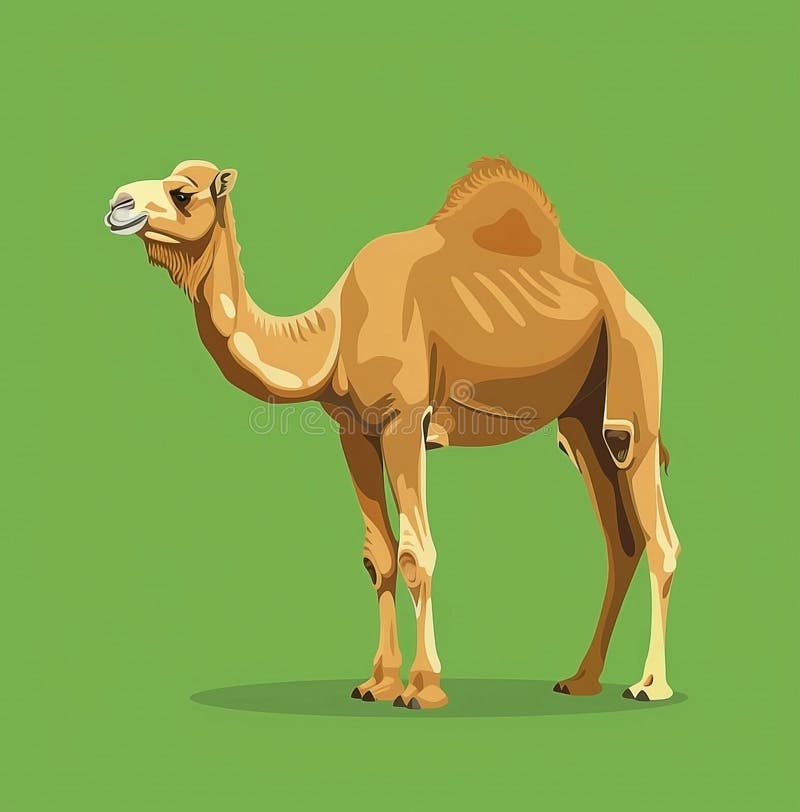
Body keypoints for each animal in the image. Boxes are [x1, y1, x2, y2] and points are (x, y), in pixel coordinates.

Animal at [105, 156, 681, 710]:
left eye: (184, 192)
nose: (117, 203)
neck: (335, 332)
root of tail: (639, 306)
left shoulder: (405, 417)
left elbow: (415, 553)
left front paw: (423, 689)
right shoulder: (353, 428)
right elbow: (377, 556)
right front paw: (376, 685)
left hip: (633, 381)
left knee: (656, 528)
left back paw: (649, 685)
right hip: (580, 421)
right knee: (620, 540)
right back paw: (581, 680)